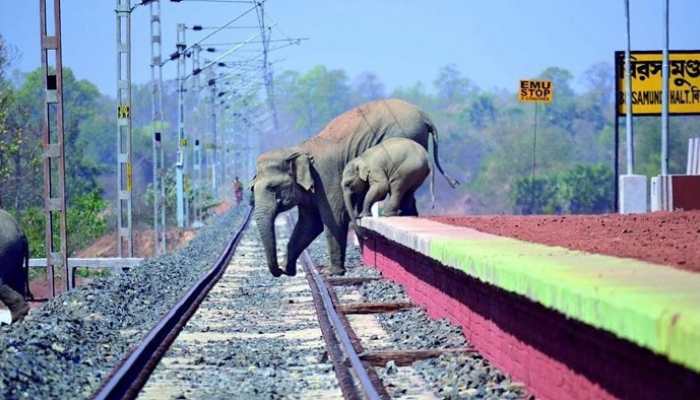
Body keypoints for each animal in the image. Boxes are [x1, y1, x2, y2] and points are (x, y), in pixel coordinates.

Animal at [252, 98, 458, 277]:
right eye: (252, 189)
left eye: (273, 187)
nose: (280, 271)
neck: (297, 150)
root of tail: (425, 116)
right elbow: (309, 224)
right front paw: (290, 268)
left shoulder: (326, 178)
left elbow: (333, 219)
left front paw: (334, 273)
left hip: (404, 135)